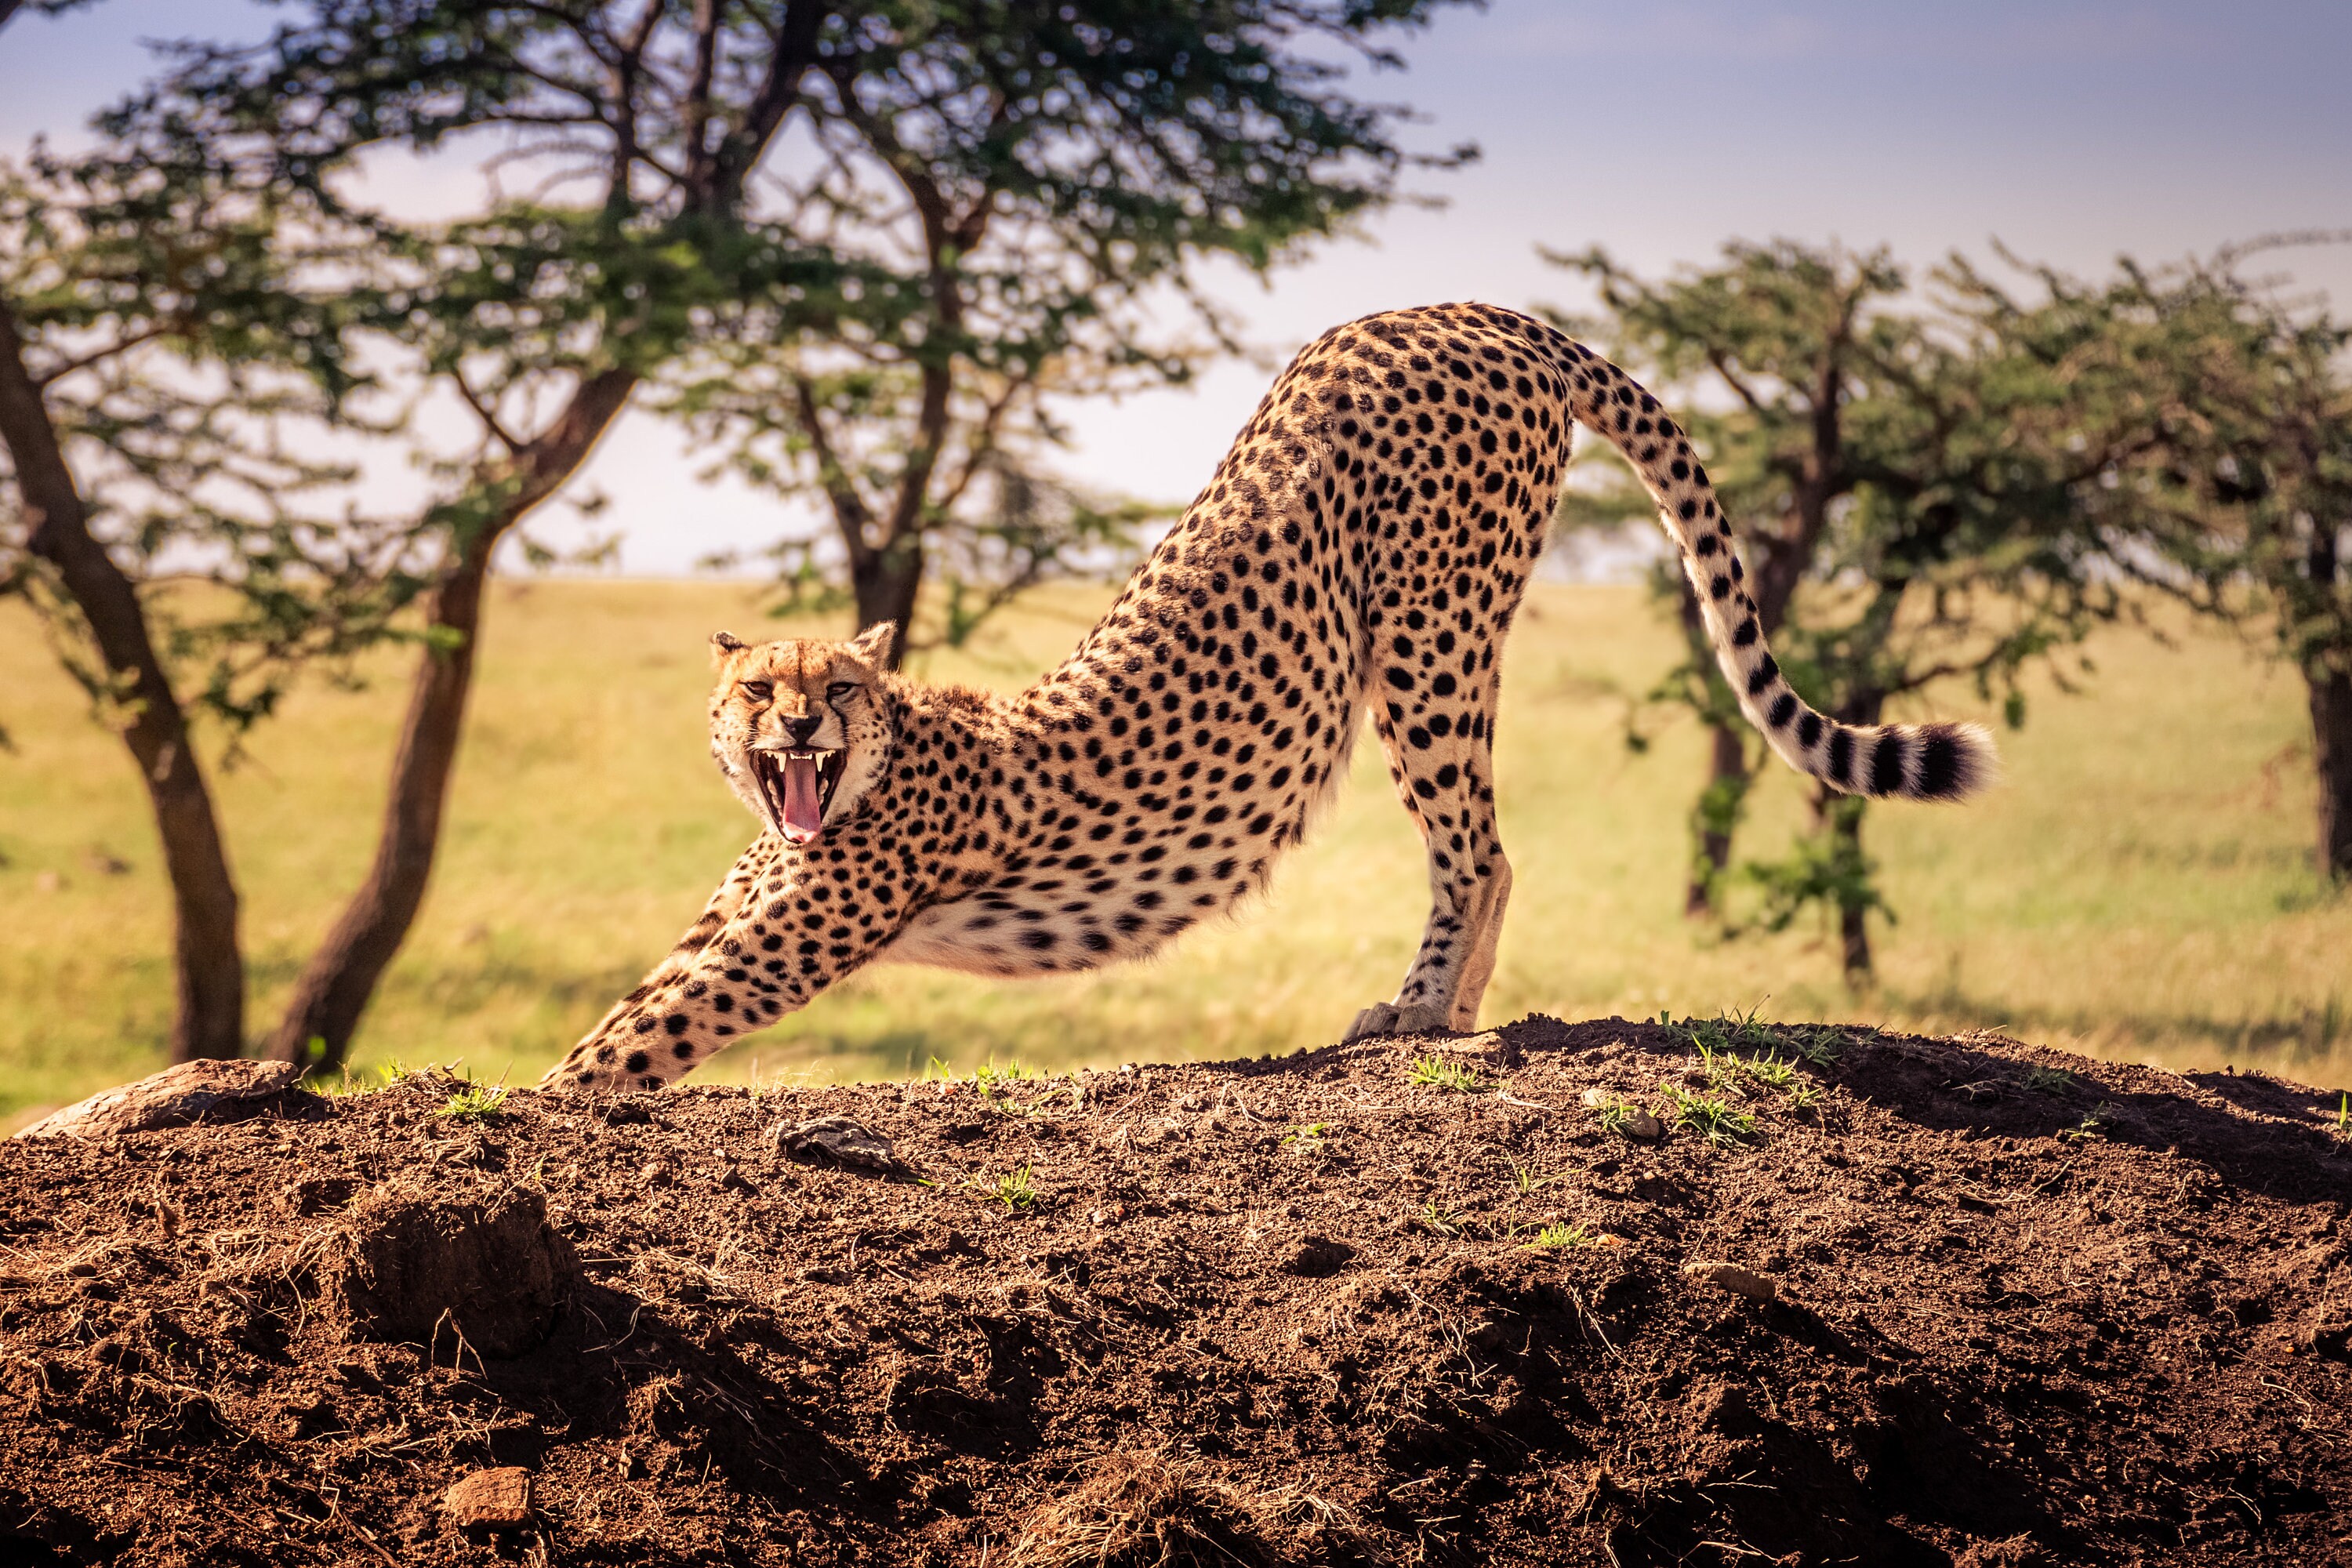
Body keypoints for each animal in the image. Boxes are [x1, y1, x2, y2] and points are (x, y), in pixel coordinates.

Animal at [544, 302, 1993, 1092]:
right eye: (756, 686)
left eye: (838, 683)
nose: (799, 726)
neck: (878, 766)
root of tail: (1464, 308)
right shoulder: (736, 916)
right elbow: (634, 1008)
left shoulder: (788, 940)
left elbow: (630, 1045)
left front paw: (521, 1119)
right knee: (1487, 845)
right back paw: (1455, 1010)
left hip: (1425, 637)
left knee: (1477, 846)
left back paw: (1422, 1014)